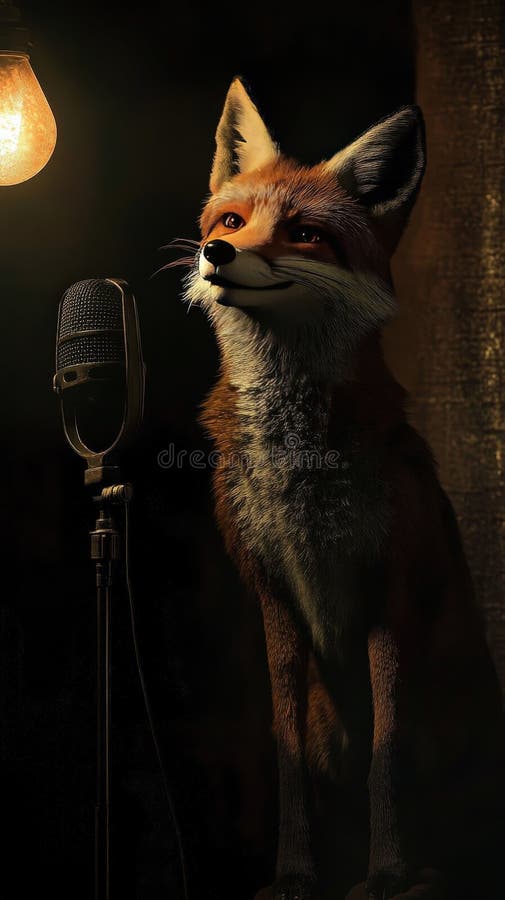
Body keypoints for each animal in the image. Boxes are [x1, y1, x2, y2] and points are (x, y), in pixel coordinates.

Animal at [176, 78, 505, 900]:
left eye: (303, 233)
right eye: (232, 221)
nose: (217, 252)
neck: (302, 476)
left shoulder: (388, 589)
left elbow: (386, 757)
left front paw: (385, 873)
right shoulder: (273, 597)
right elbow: (289, 763)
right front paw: (295, 874)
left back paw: (429, 869)